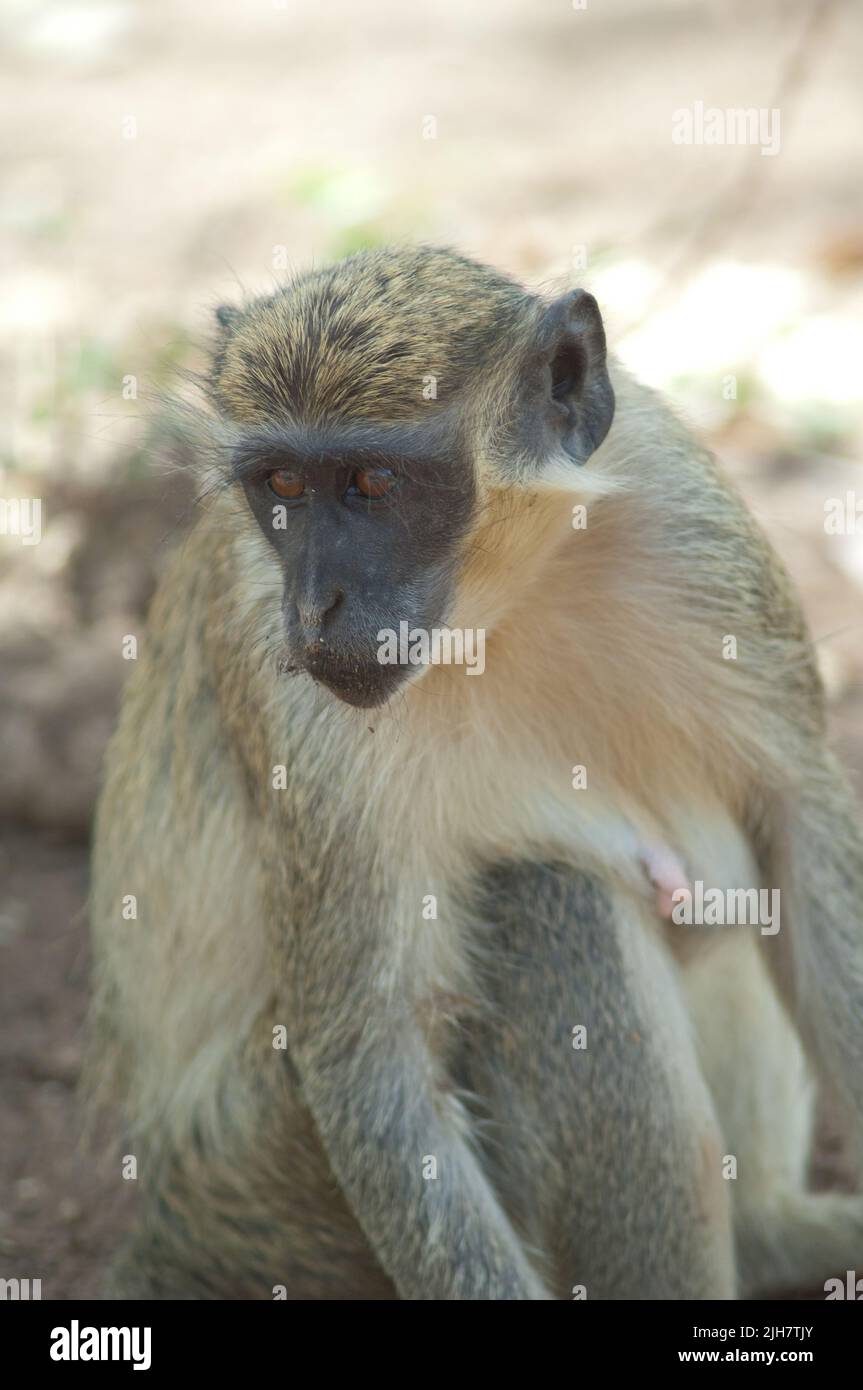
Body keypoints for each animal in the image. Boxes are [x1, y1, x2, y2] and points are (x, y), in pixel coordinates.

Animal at [87, 244, 863, 1300]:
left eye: (373, 483)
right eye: (281, 482)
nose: (315, 608)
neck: (503, 603)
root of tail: (173, 1218)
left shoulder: (691, 520)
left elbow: (800, 821)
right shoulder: (286, 687)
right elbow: (371, 1057)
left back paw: (776, 1233)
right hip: (275, 1189)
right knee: (549, 895)